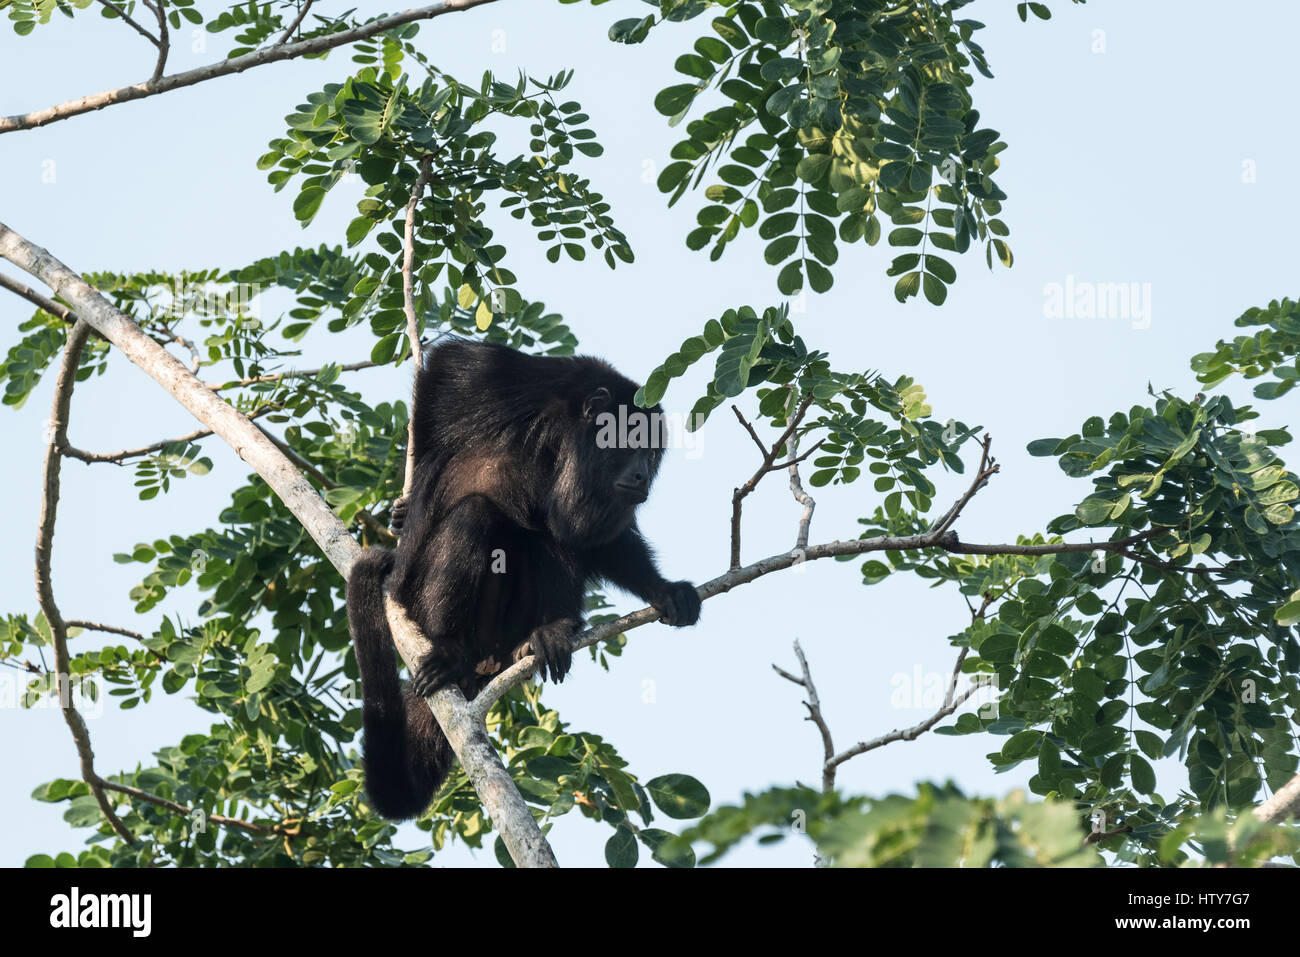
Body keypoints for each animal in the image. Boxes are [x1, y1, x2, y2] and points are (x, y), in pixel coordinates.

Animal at [346, 339, 701, 820]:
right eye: (631, 443)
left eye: (650, 453)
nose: (643, 475)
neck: (568, 439)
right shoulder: (521, 381)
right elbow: (445, 370)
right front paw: (413, 508)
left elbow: (595, 541)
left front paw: (664, 590)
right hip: (425, 605)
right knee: (477, 515)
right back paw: (447, 647)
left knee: (551, 534)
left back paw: (548, 633)